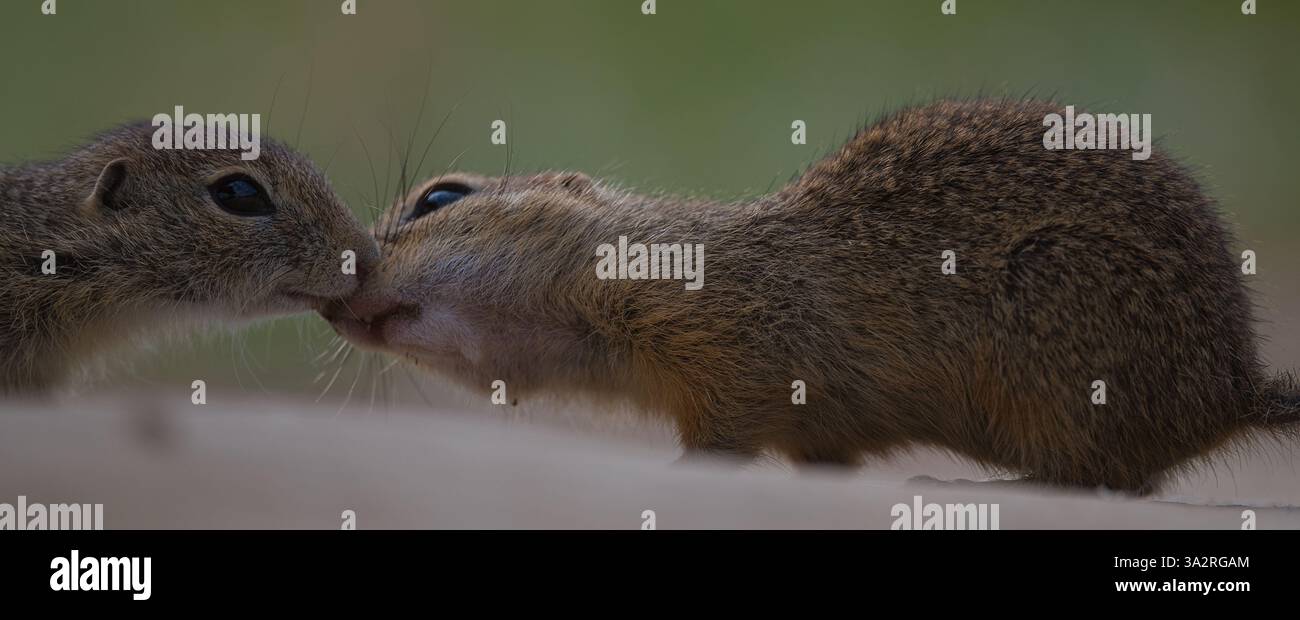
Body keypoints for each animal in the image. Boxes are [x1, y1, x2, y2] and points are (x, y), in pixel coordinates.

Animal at [323, 99, 1298, 493]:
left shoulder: (736, 345)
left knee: (1113, 479)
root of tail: (1231, 388)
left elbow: (724, 437)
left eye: (439, 199)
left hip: (1058, 319)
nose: (331, 298)